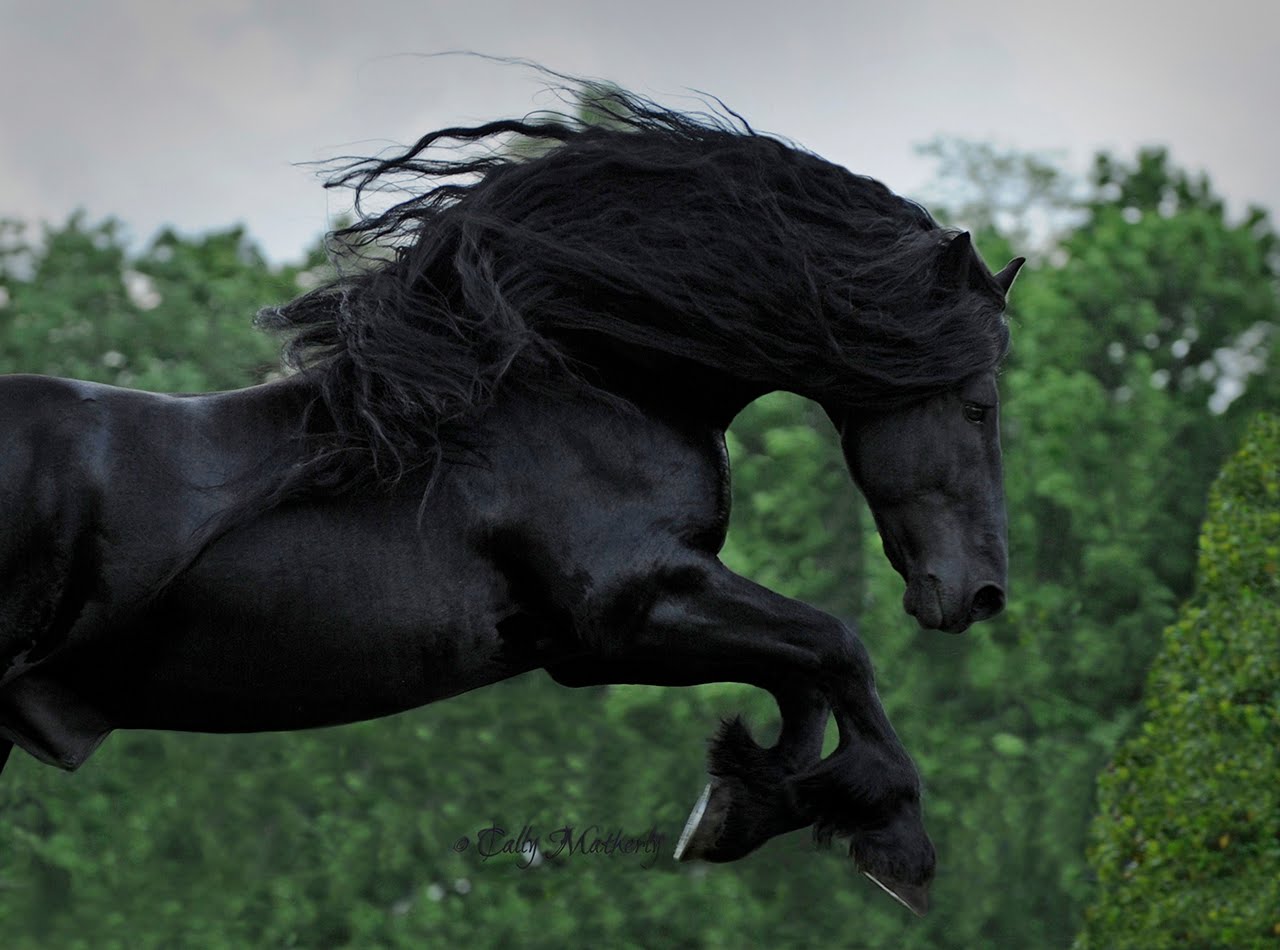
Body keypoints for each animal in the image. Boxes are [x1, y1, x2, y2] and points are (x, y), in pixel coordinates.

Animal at [0, 86, 1023, 917]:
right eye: (978, 405)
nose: (980, 593)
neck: (589, 386)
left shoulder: (597, 640)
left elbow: (803, 681)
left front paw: (746, 800)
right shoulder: (628, 613)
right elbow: (835, 648)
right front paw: (894, 844)